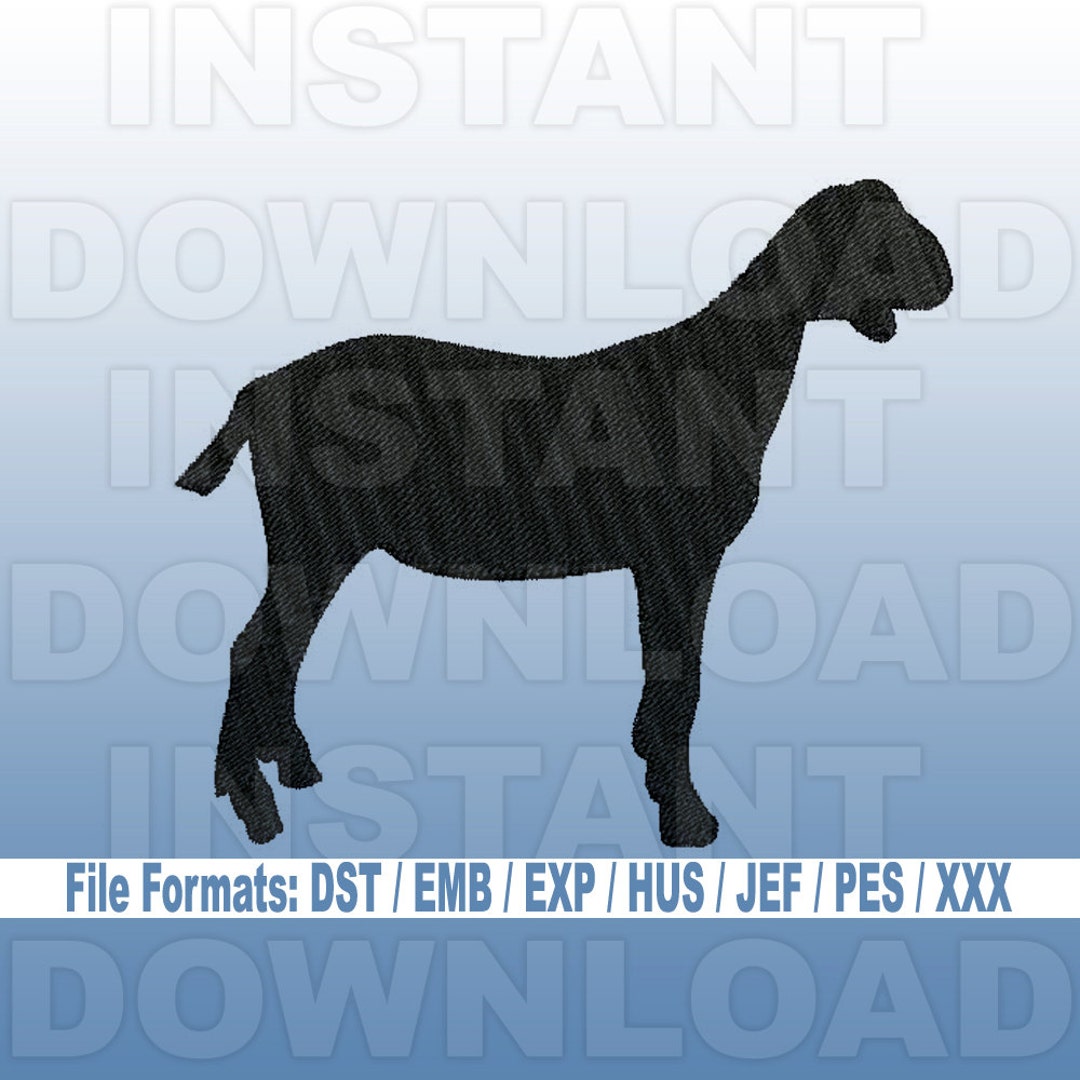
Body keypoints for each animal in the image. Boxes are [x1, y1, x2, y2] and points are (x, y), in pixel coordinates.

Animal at [178, 179, 953, 846]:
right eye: (883, 237)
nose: (947, 278)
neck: (721, 368)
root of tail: (257, 389)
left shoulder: (667, 566)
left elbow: (663, 680)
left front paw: (652, 771)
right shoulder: (679, 558)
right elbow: (681, 683)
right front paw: (687, 819)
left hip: (322, 548)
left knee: (280, 653)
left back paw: (288, 767)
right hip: (311, 543)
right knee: (253, 650)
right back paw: (253, 804)